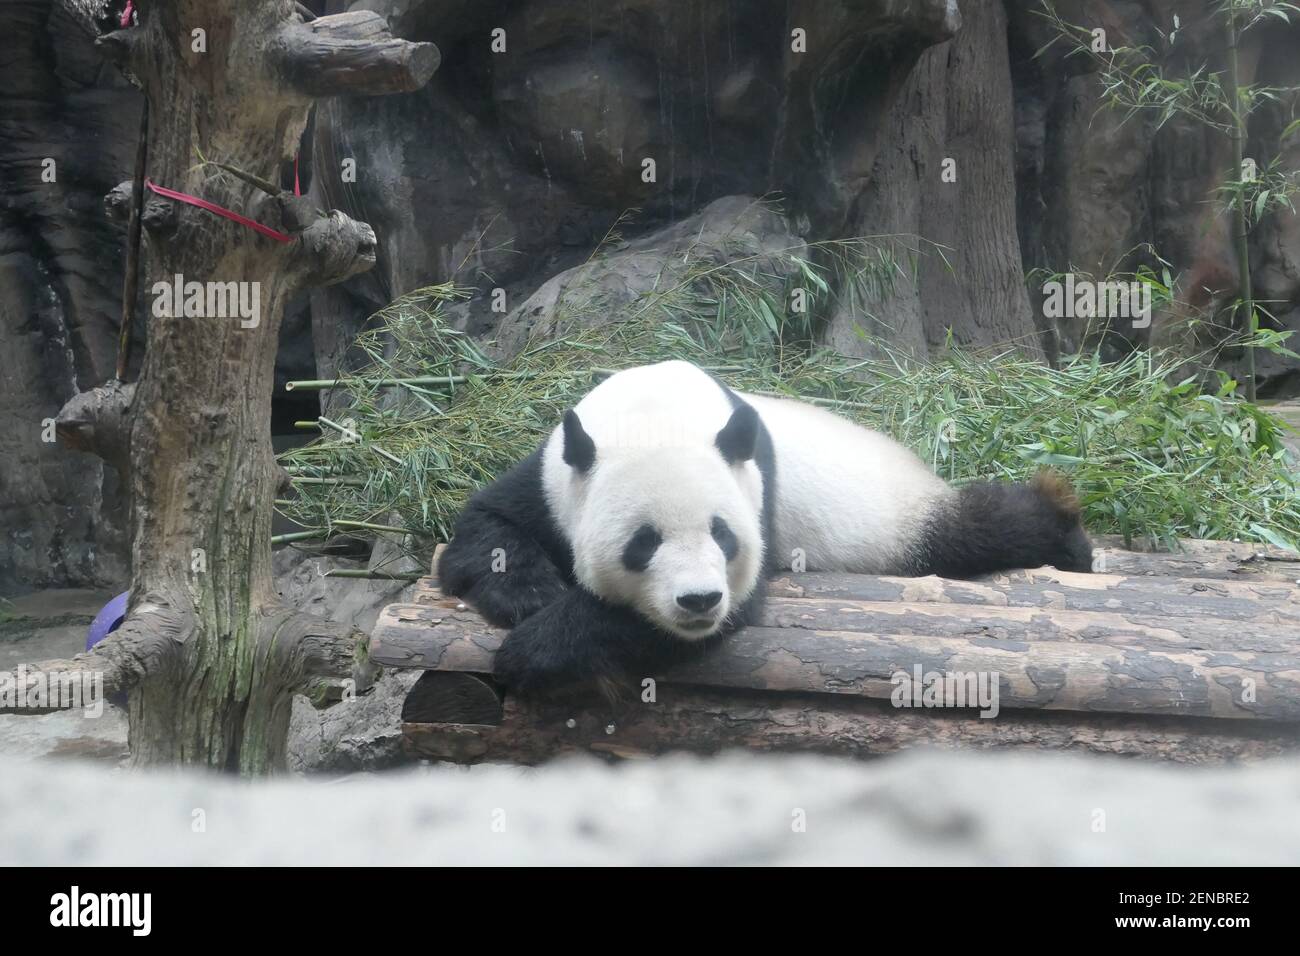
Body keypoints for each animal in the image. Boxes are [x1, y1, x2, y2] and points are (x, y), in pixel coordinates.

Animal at [438, 360, 1093, 696]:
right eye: (643, 543)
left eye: (722, 534)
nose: (698, 600)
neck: (654, 413)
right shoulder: (557, 473)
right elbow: (485, 525)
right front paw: (529, 594)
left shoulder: (753, 495)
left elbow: (717, 613)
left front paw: (535, 647)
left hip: (897, 515)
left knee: (971, 530)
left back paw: (1067, 533)